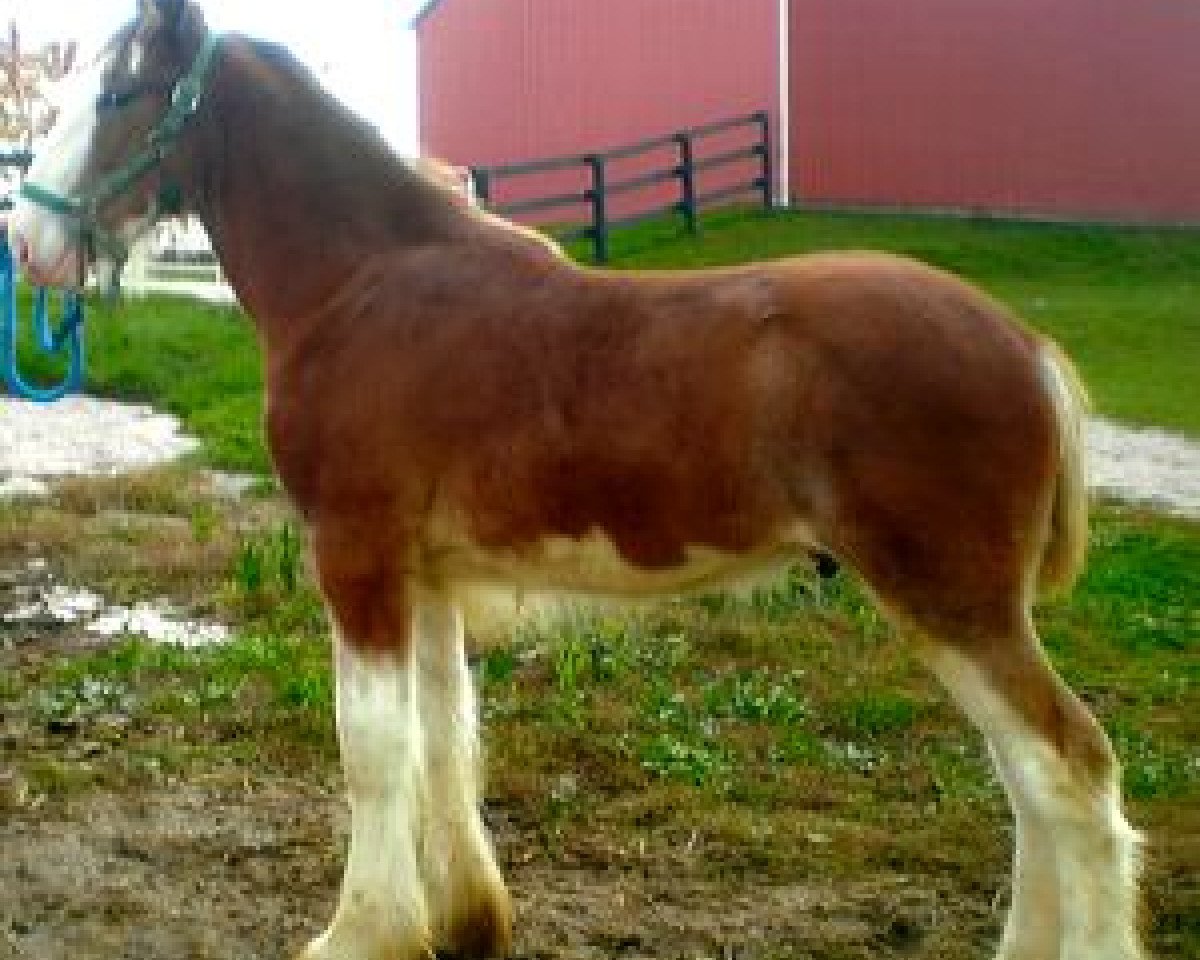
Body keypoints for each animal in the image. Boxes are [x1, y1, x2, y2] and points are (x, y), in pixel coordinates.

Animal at [11, 3, 1146, 959]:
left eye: (117, 96)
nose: (29, 240)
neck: (361, 287)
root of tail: (1027, 347)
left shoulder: (357, 554)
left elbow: (371, 746)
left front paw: (360, 932)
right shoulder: (427, 574)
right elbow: (443, 739)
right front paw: (464, 922)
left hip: (953, 600)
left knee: (1070, 773)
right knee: (1029, 780)